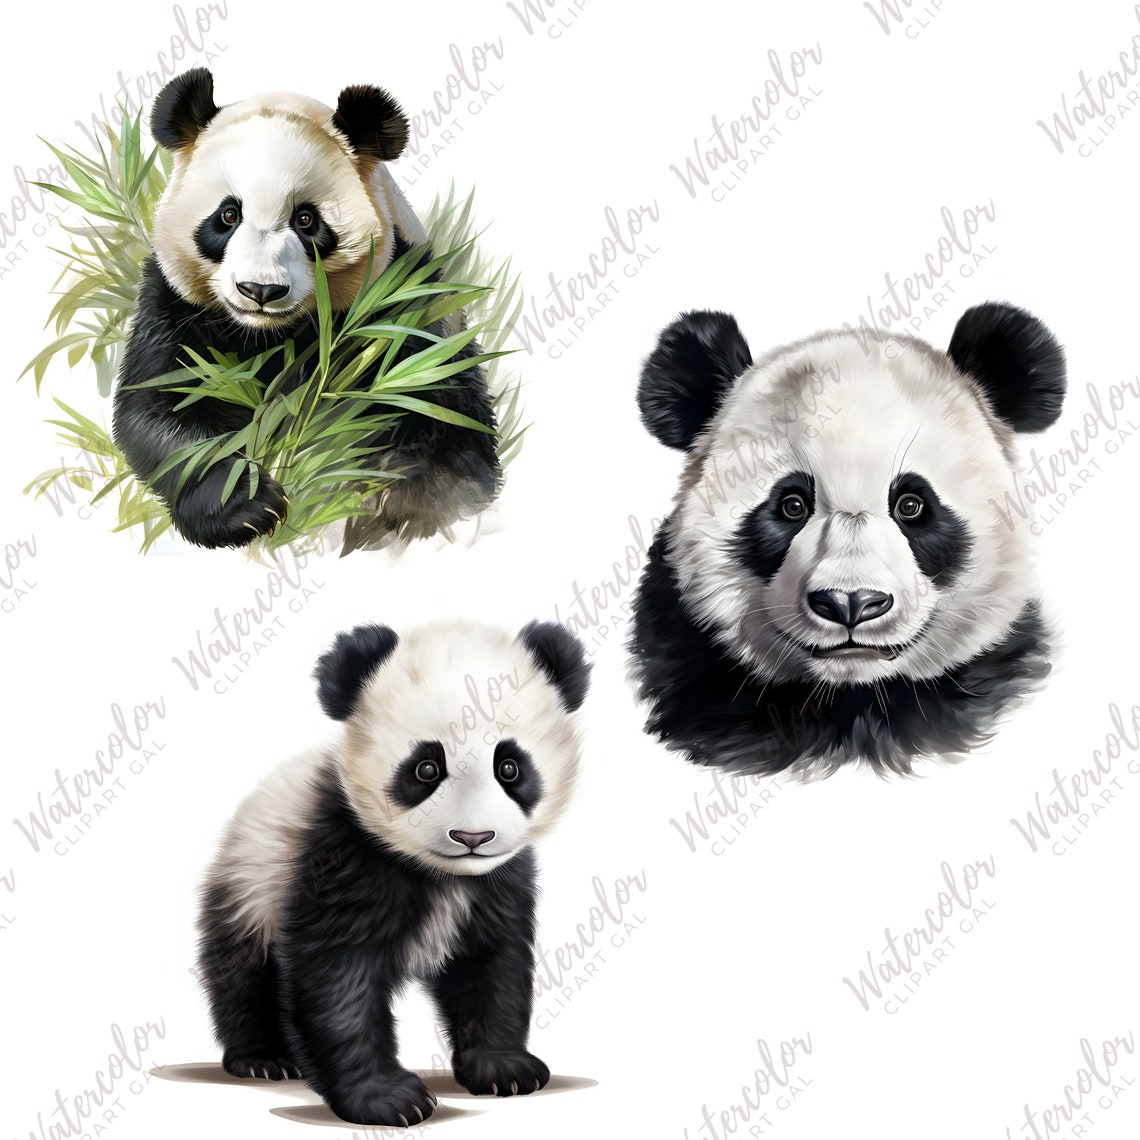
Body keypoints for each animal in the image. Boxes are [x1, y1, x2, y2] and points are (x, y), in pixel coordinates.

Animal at [113, 67, 500, 550]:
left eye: (306, 220)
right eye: (228, 216)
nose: (260, 290)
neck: (268, 333)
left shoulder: (406, 301)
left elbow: (446, 410)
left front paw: (408, 502)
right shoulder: (175, 308)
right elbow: (164, 411)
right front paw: (247, 508)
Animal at [197, 619, 590, 1127]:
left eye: (509, 766)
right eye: (425, 768)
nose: (473, 837)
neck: (443, 876)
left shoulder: (497, 886)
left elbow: (493, 966)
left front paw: (504, 1069)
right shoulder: (339, 860)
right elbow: (337, 979)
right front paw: (388, 1099)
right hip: (251, 884)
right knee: (243, 974)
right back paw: (262, 1058)